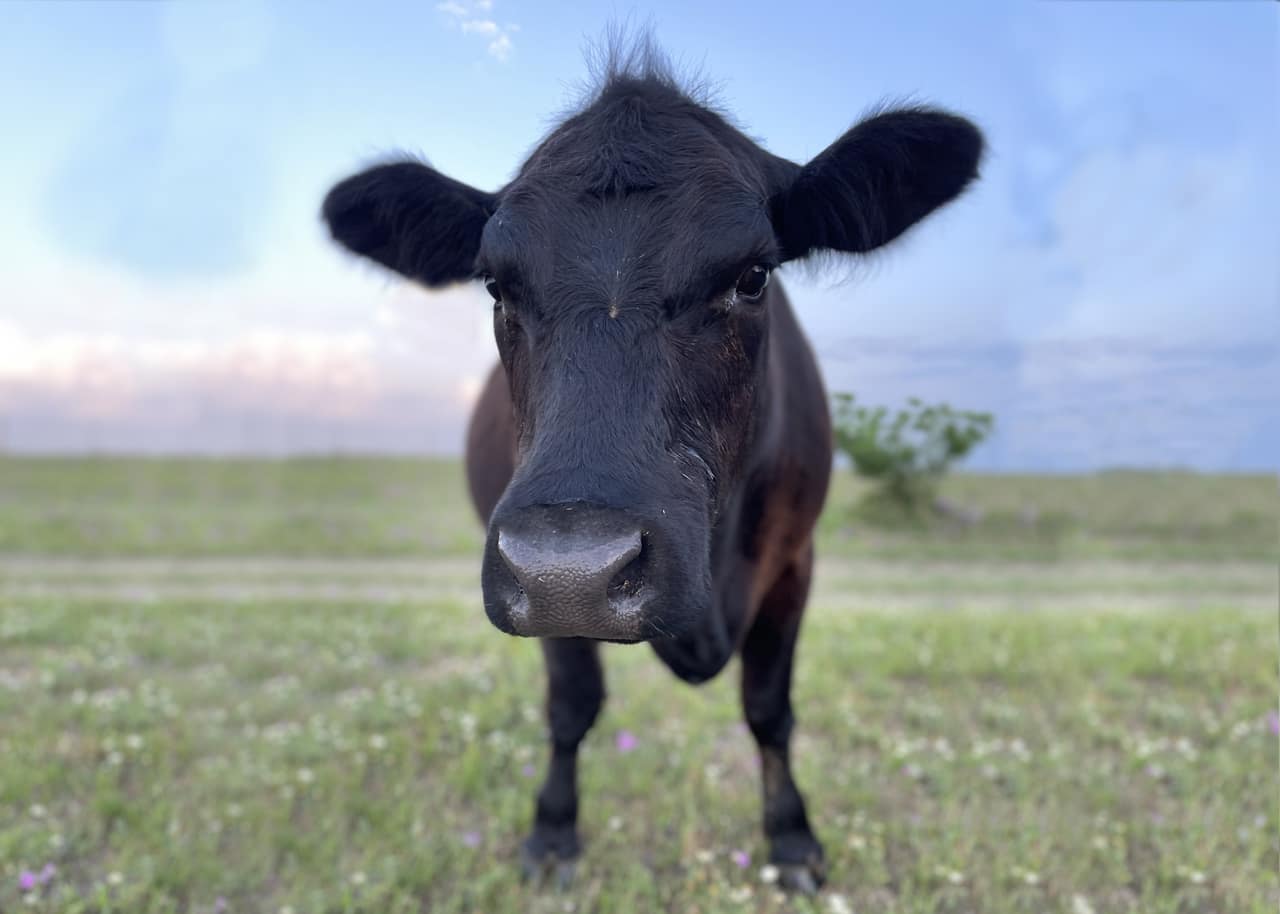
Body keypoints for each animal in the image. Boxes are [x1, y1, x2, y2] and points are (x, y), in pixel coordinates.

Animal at [323, 41, 982, 892]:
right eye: (496, 284)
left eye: (753, 276)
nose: (571, 567)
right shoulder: (535, 592)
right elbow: (571, 706)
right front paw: (553, 830)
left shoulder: (795, 558)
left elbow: (769, 708)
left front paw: (791, 838)